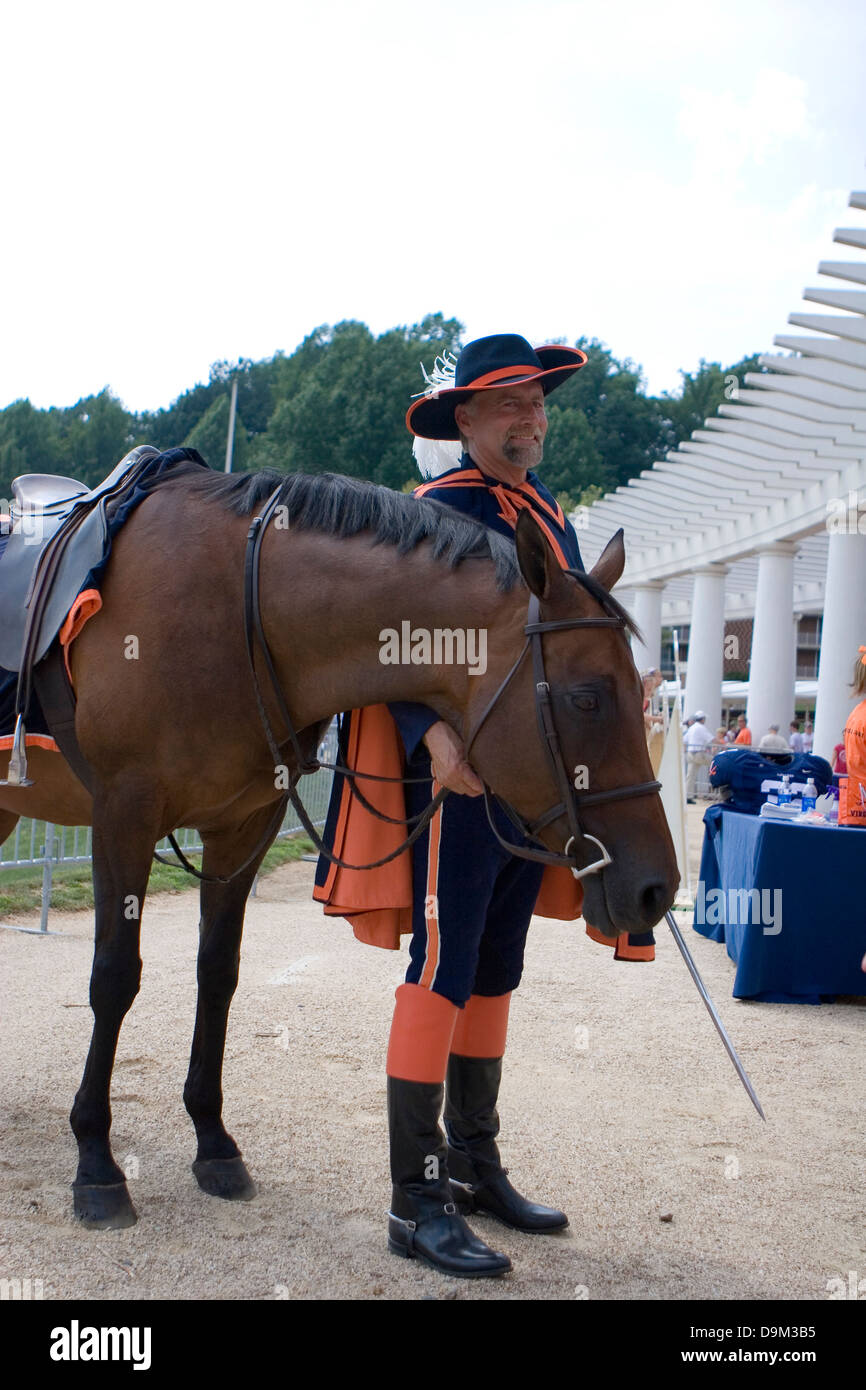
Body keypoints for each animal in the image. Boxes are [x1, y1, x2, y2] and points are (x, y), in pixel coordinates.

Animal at [0, 461, 678, 1231]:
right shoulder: (124, 818)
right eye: (587, 697)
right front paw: (96, 1162)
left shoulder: (243, 827)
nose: (657, 887)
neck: (228, 602)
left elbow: (218, 974)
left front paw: (214, 1142)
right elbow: (115, 977)